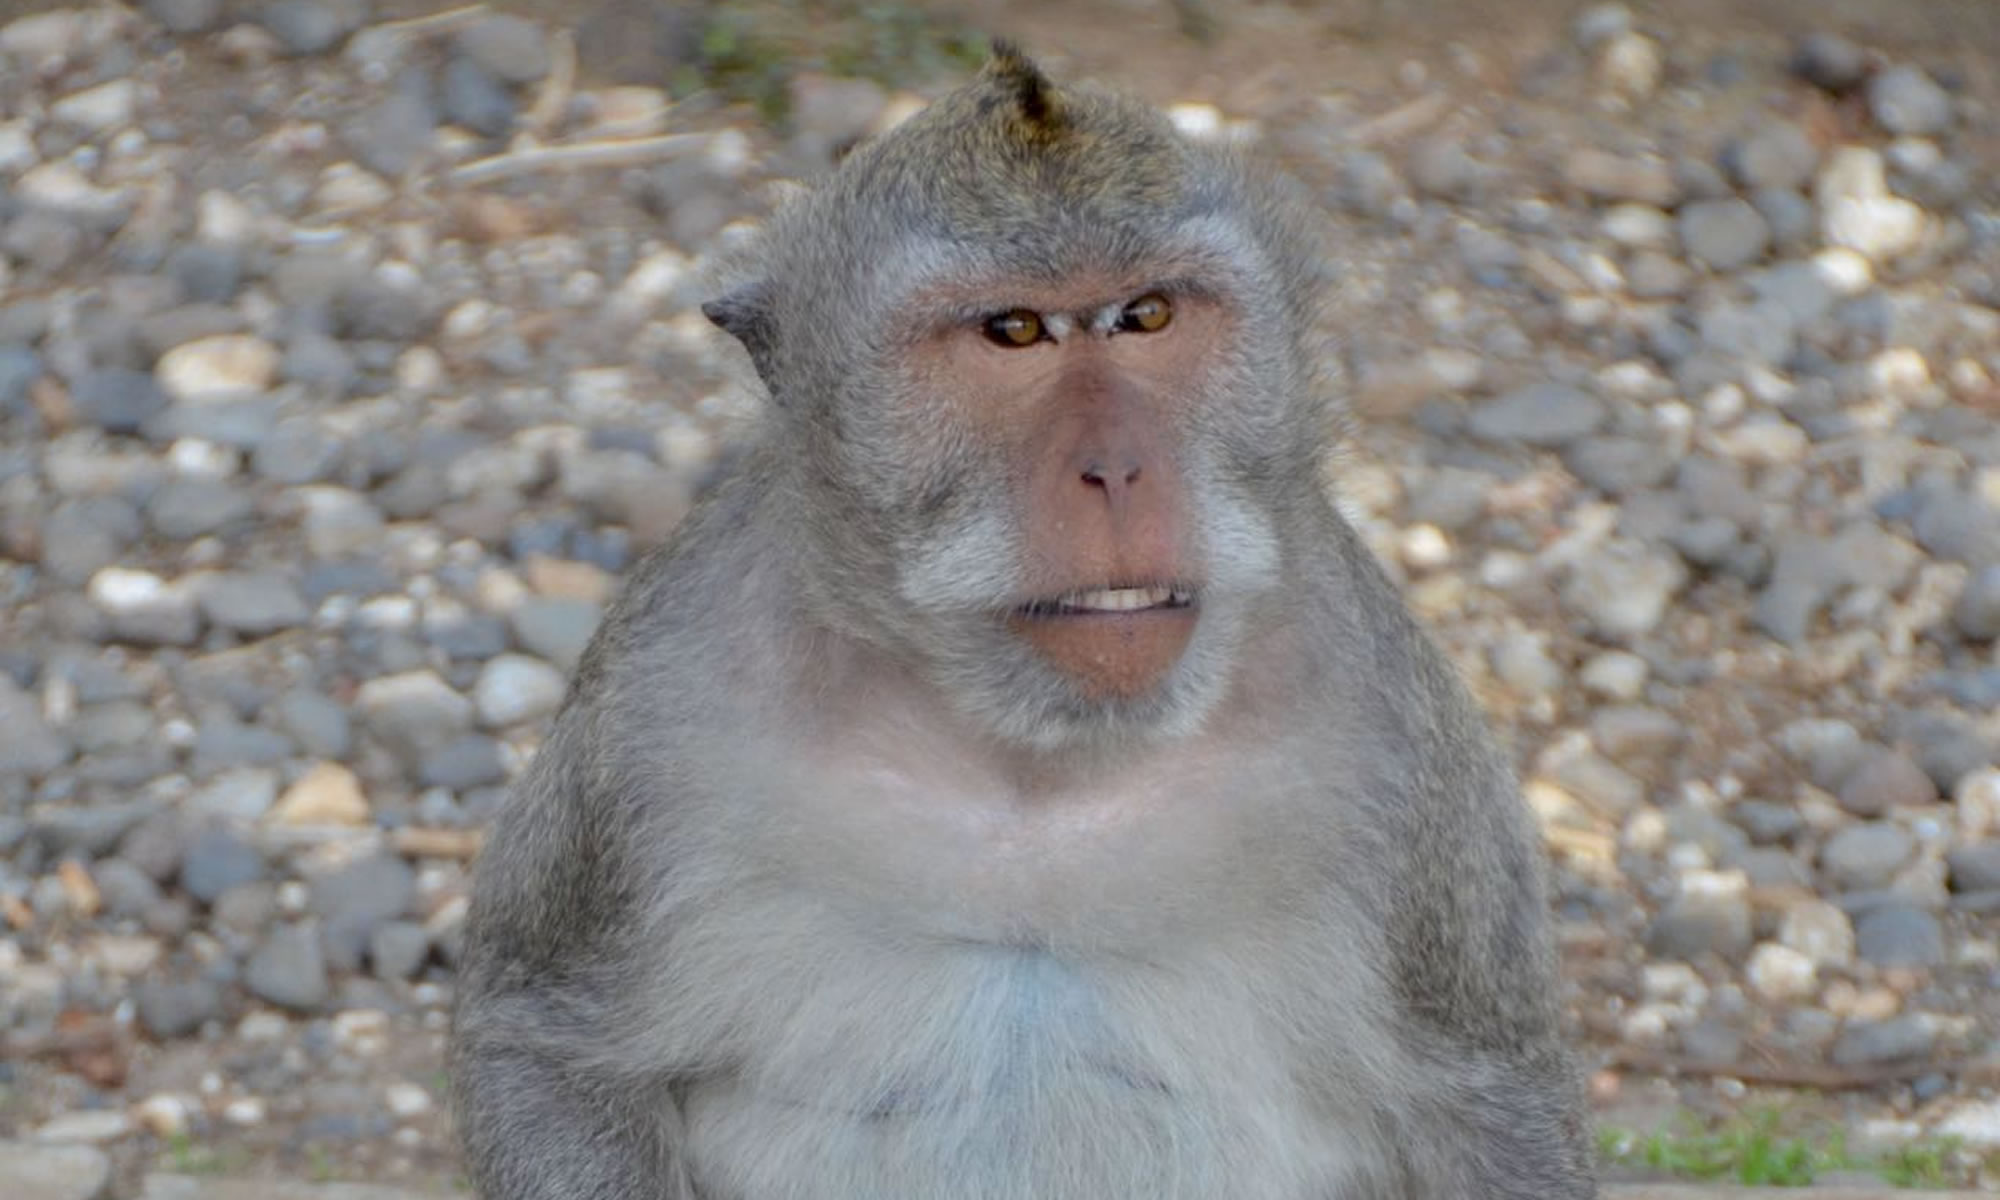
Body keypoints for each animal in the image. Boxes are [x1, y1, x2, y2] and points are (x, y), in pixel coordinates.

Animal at [450, 44, 1597, 1200]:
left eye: (1147, 315)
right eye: (1014, 332)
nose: (1116, 469)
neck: (1034, 765)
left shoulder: (1399, 746)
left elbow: (1487, 1103)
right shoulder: (650, 716)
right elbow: (540, 1044)